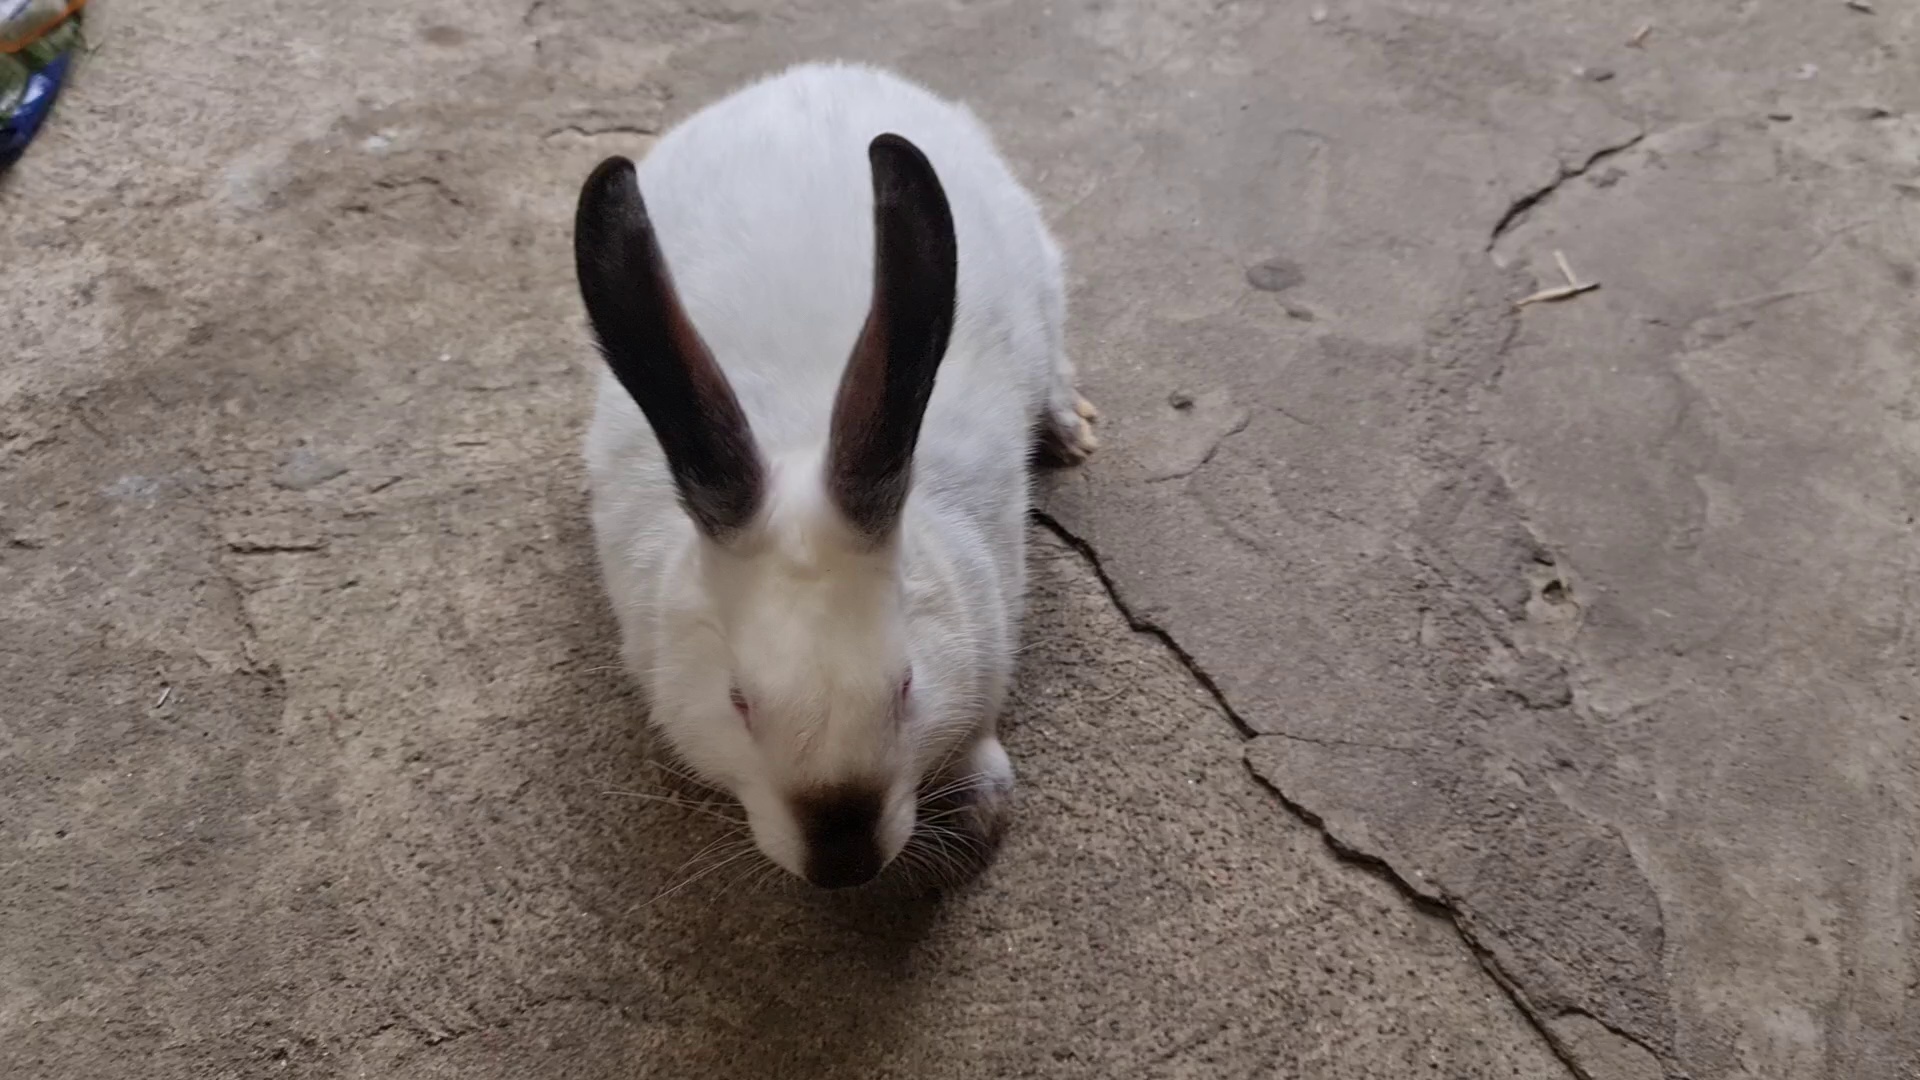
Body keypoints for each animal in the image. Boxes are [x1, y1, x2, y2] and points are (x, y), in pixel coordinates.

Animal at [575, 62, 1097, 890]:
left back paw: (1069, 430)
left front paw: (978, 811)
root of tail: (820, 74)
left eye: (906, 685)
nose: (844, 863)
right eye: (739, 702)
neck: (799, 442)